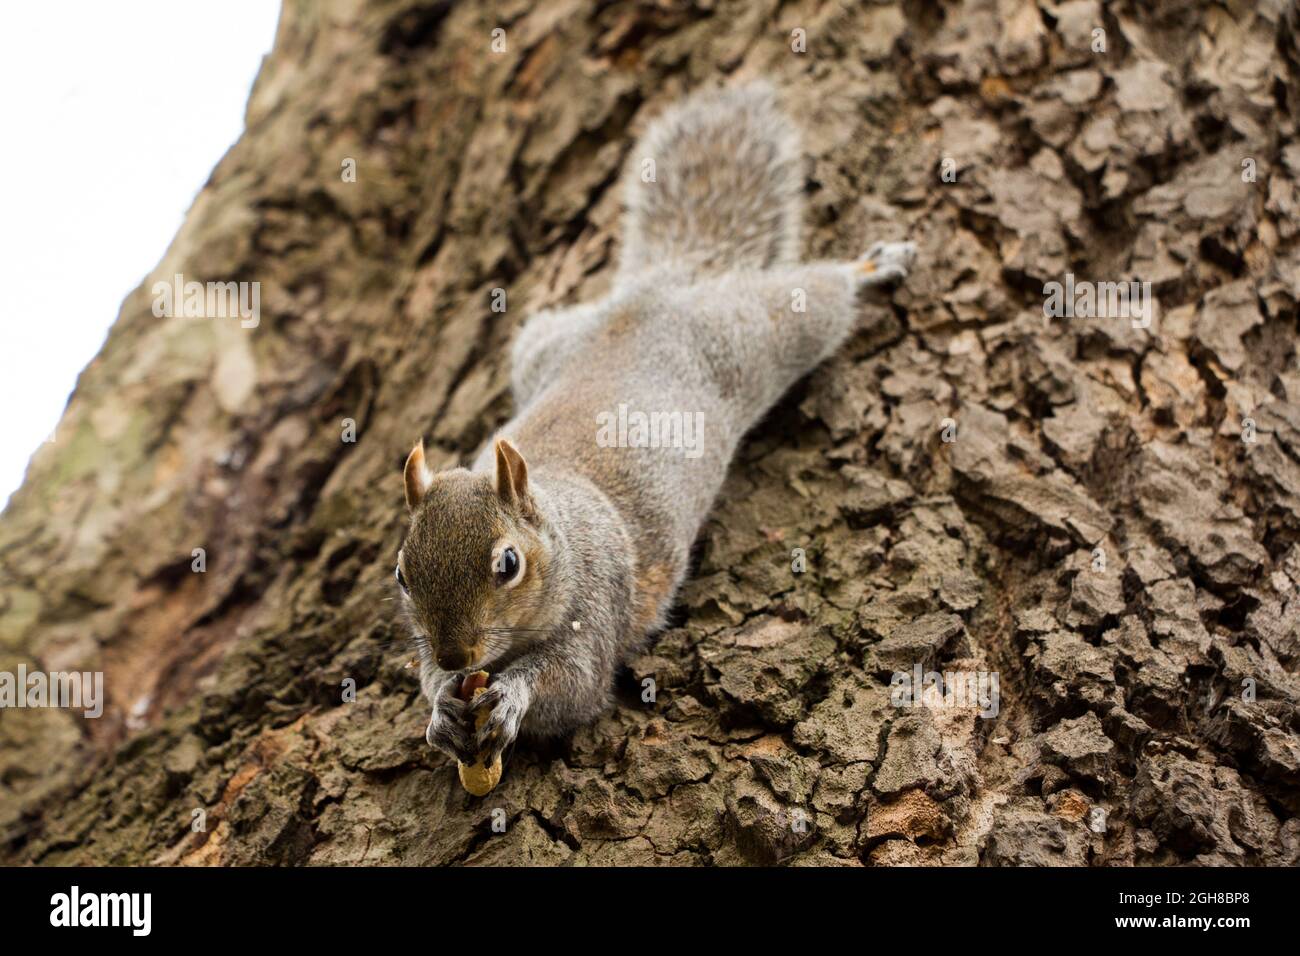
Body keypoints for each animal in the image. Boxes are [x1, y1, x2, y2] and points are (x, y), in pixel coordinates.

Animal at [396, 82, 917, 771]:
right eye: (401, 573)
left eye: (508, 564)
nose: (456, 655)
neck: (562, 531)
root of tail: (660, 288)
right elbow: (431, 683)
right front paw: (439, 711)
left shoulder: (596, 607)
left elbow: (572, 685)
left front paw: (511, 696)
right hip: (540, 343)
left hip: (761, 331)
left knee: (817, 295)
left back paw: (873, 267)